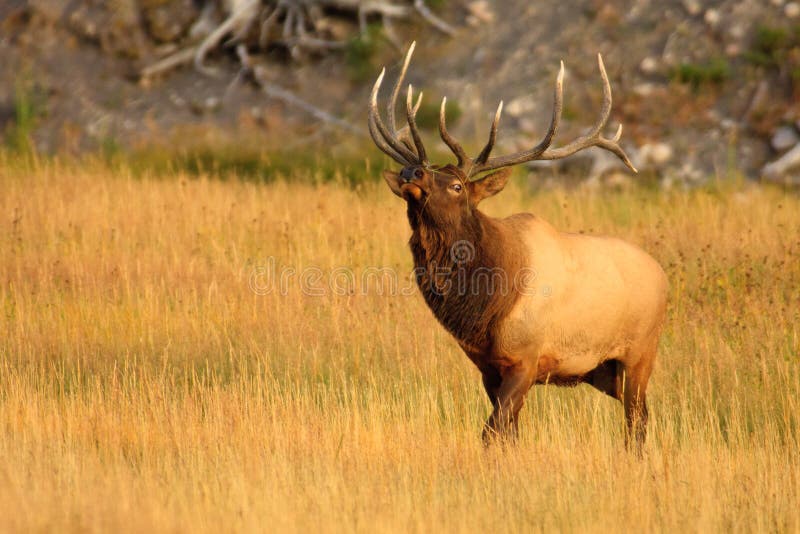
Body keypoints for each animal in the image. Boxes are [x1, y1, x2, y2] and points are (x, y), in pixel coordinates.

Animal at [368, 43, 668, 450]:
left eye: (457, 185)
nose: (410, 172)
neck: (486, 307)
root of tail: (664, 277)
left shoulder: (526, 358)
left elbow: (491, 433)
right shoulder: (487, 367)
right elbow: (508, 434)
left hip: (639, 354)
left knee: (636, 420)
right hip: (604, 372)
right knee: (643, 415)